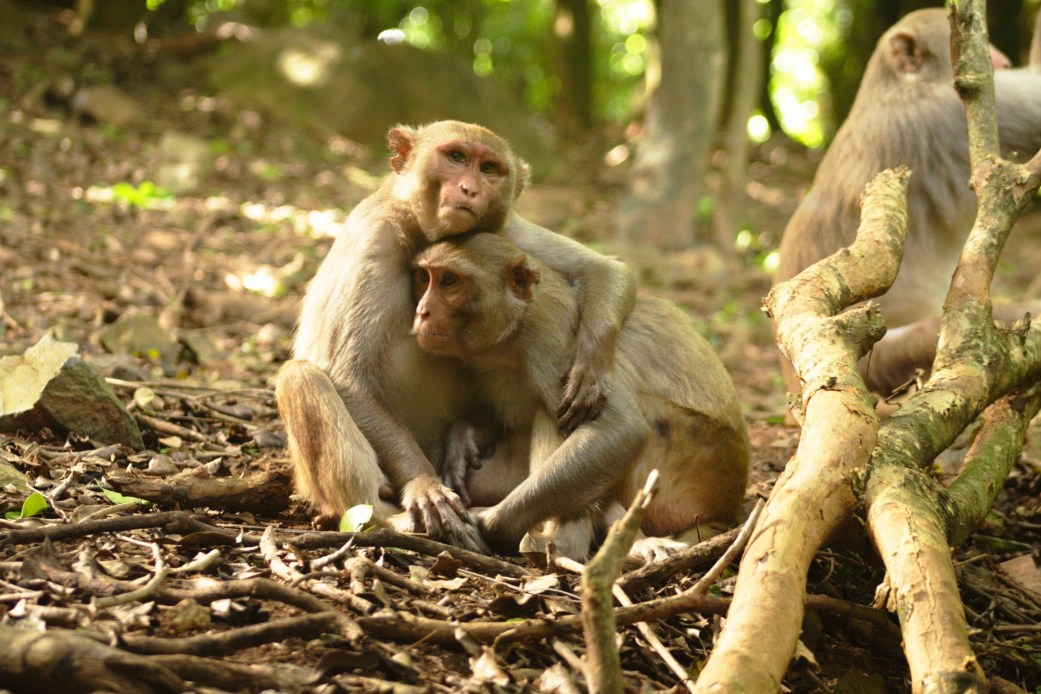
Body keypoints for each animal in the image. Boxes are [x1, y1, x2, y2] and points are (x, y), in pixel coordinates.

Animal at [276, 121, 636, 551]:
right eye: (456, 158)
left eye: (490, 169)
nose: (470, 189)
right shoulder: (374, 236)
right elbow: (346, 373)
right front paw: (423, 484)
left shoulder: (505, 230)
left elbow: (605, 269)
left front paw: (589, 367)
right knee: (301, 377)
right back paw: (387, 520)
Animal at [411, 232, 750, 560]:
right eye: (424, 278)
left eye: (449, 281)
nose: (422, 312)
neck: (512, 332)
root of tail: (729, 507)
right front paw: (462, 438)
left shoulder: (551, 339)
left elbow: (619, 428)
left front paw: (487, 524)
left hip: (692, 462)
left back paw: (562, 546)